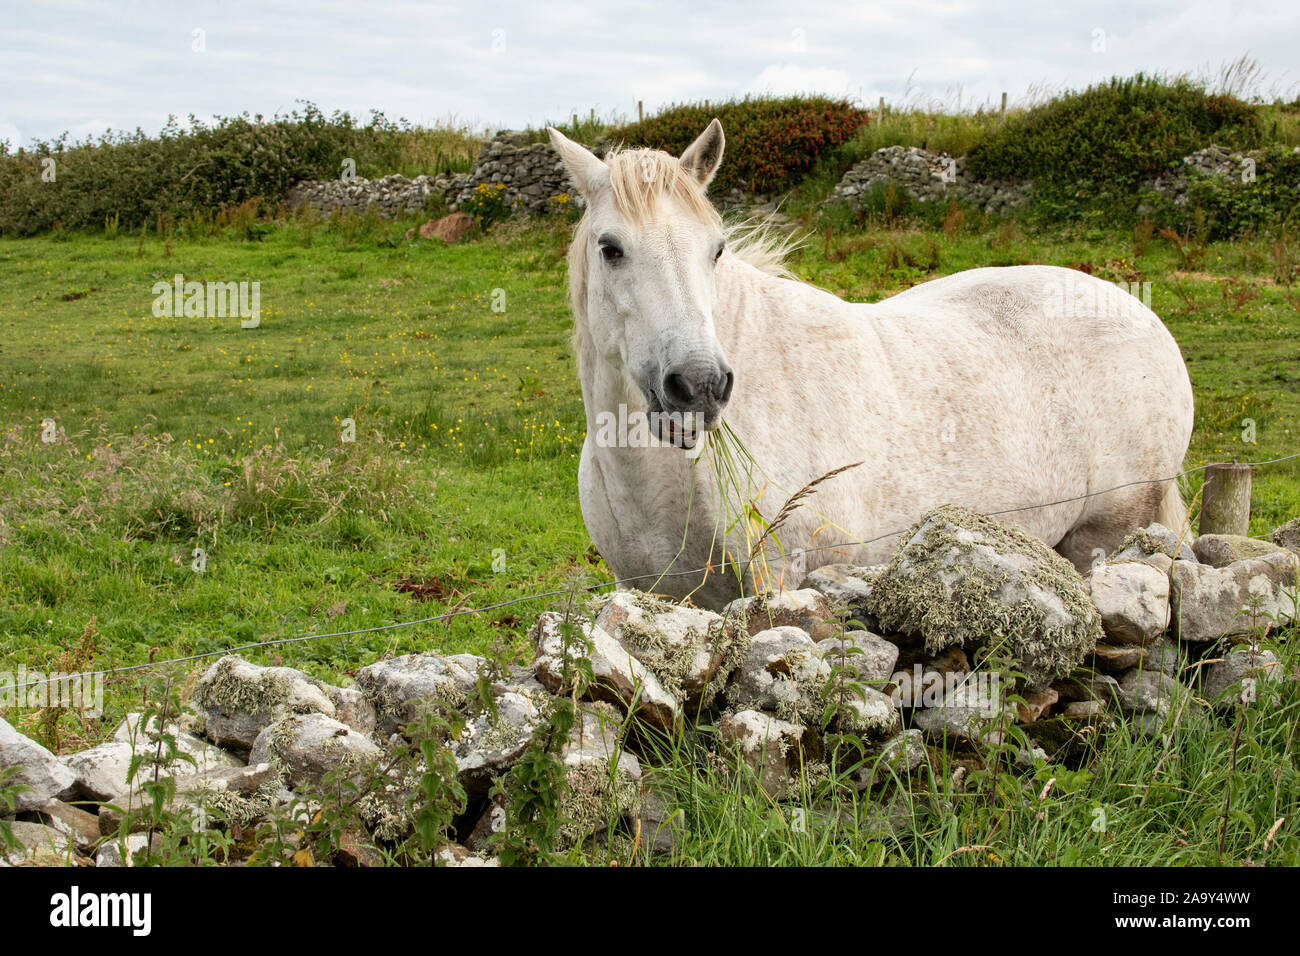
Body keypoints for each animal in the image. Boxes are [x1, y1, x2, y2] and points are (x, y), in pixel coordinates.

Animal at [548, 120, 1194, 610]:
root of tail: (1141, 313)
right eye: (610, 249)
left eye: (717, 249)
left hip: (1105, 538)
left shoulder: (784, 579)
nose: (700, 386)